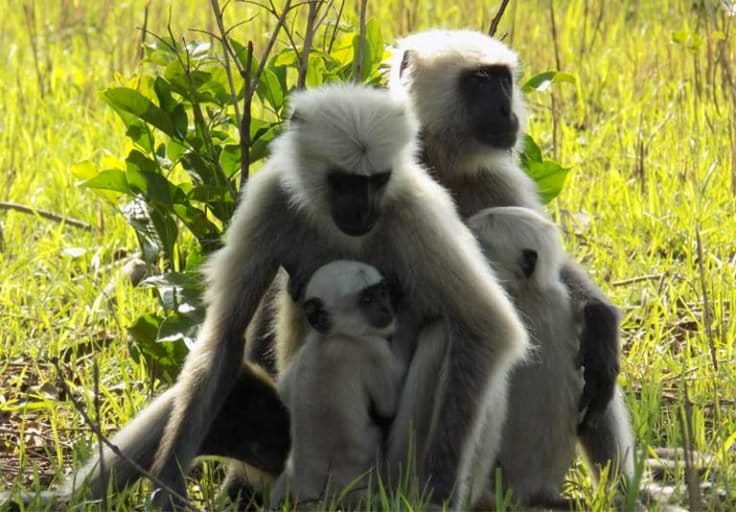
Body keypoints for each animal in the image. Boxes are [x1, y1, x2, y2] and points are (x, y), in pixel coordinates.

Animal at [270, 260, 404, 507]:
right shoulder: (370, 348)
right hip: (356, 489)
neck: (331, 339)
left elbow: (282, 391)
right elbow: (388, 408)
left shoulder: (309, 347)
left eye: (381, 293)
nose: (387, 309)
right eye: (367, 300)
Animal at [389, 29, 635, 486]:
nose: (507, 109)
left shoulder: (494, 177)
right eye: (481, 83)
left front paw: (602, 322)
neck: (441, 163)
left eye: (504, 81)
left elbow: (552, 265)